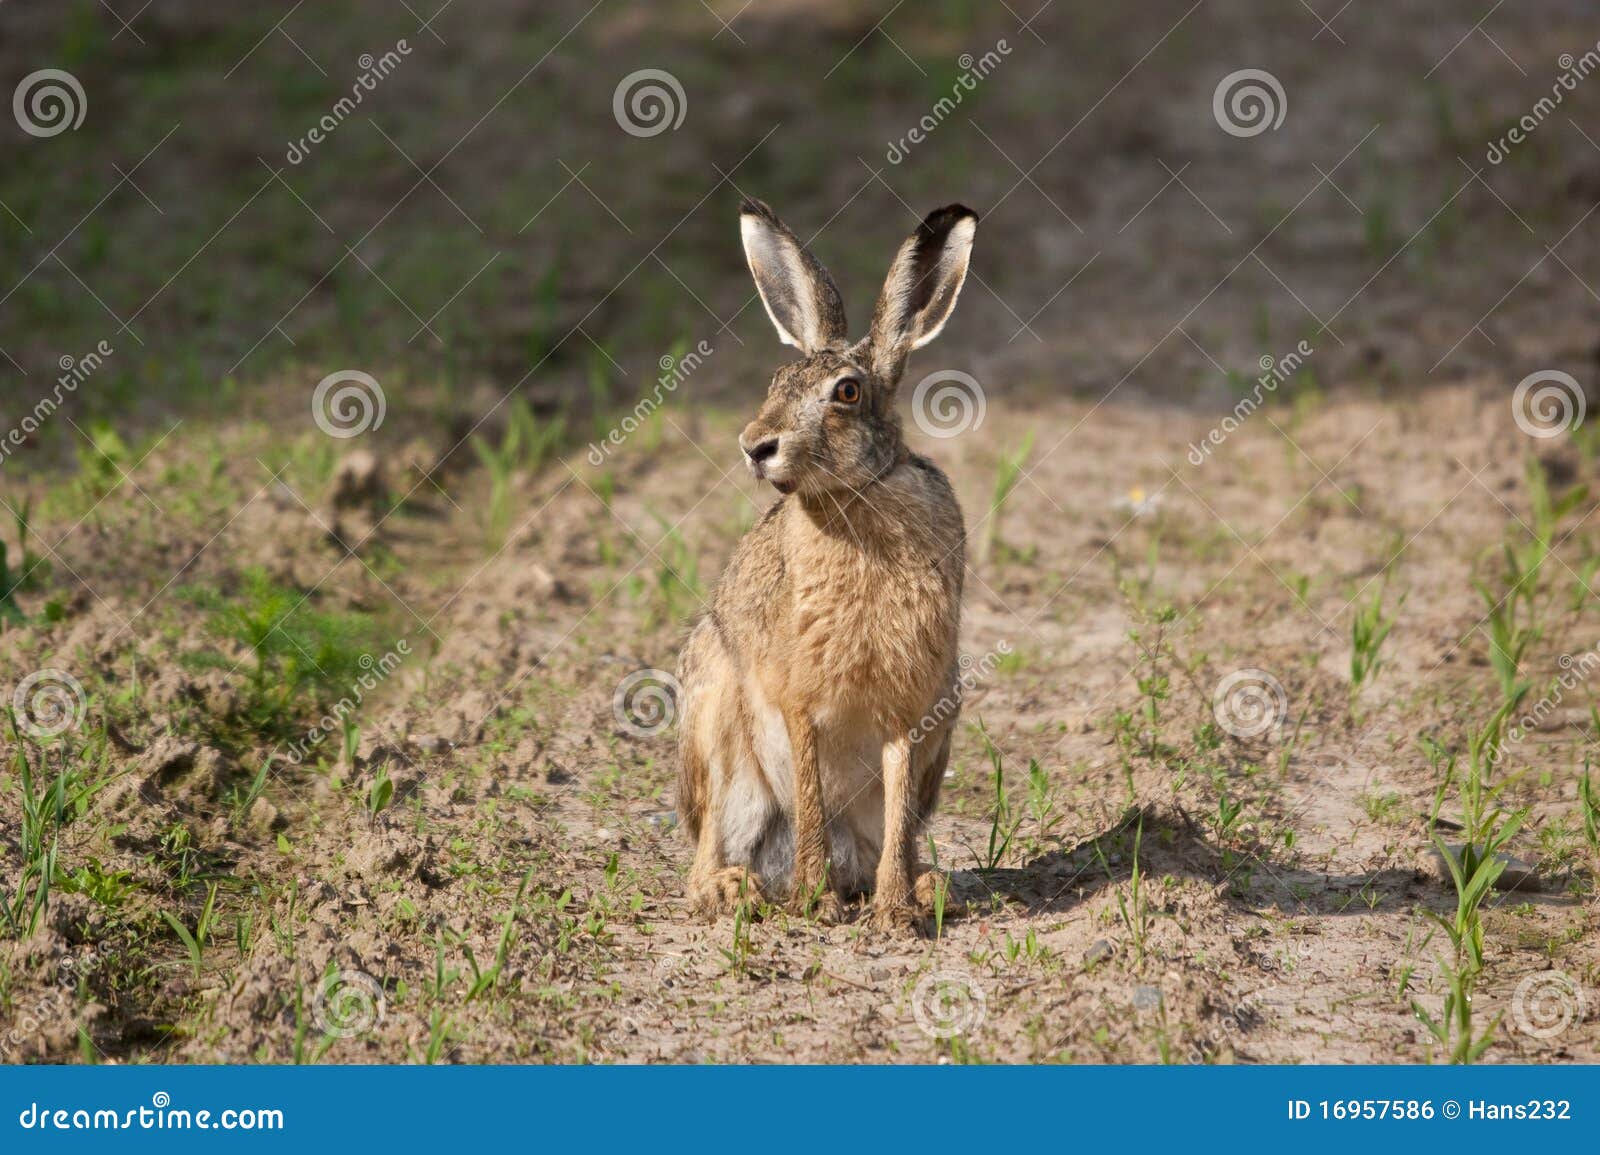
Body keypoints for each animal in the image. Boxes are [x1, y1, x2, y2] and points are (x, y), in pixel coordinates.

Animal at [676, 198, 977, 930]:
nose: (755, 445)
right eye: (776, 382)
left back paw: (926, 889)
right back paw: (738, 890)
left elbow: (897, 807)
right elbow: (810, 790)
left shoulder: (911, 709)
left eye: (846, 392)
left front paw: (894, 911)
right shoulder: (798, 699)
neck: (855, 496)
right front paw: (817, 903)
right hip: (715, 720)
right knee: (708, 847)